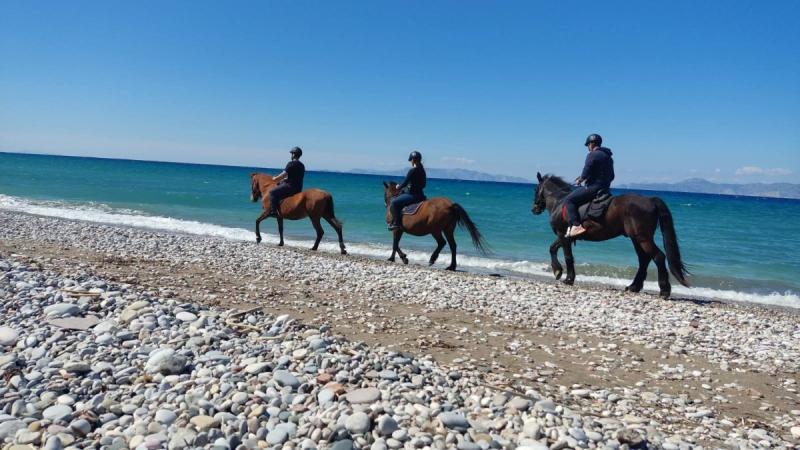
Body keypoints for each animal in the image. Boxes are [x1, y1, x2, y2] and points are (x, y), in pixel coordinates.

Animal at [531, 172, 689, 298]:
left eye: (536, 189)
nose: (534, 209)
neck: (560, 201)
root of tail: (650, 200)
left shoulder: (563, 235)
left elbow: (567, 256)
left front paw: (568, 278)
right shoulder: (566, 236)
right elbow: (552, 248)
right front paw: (557, 271)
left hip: (642, 238)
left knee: (658, 257)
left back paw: (664, 291)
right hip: (636, 239)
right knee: (644, 260)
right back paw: (633, 287)